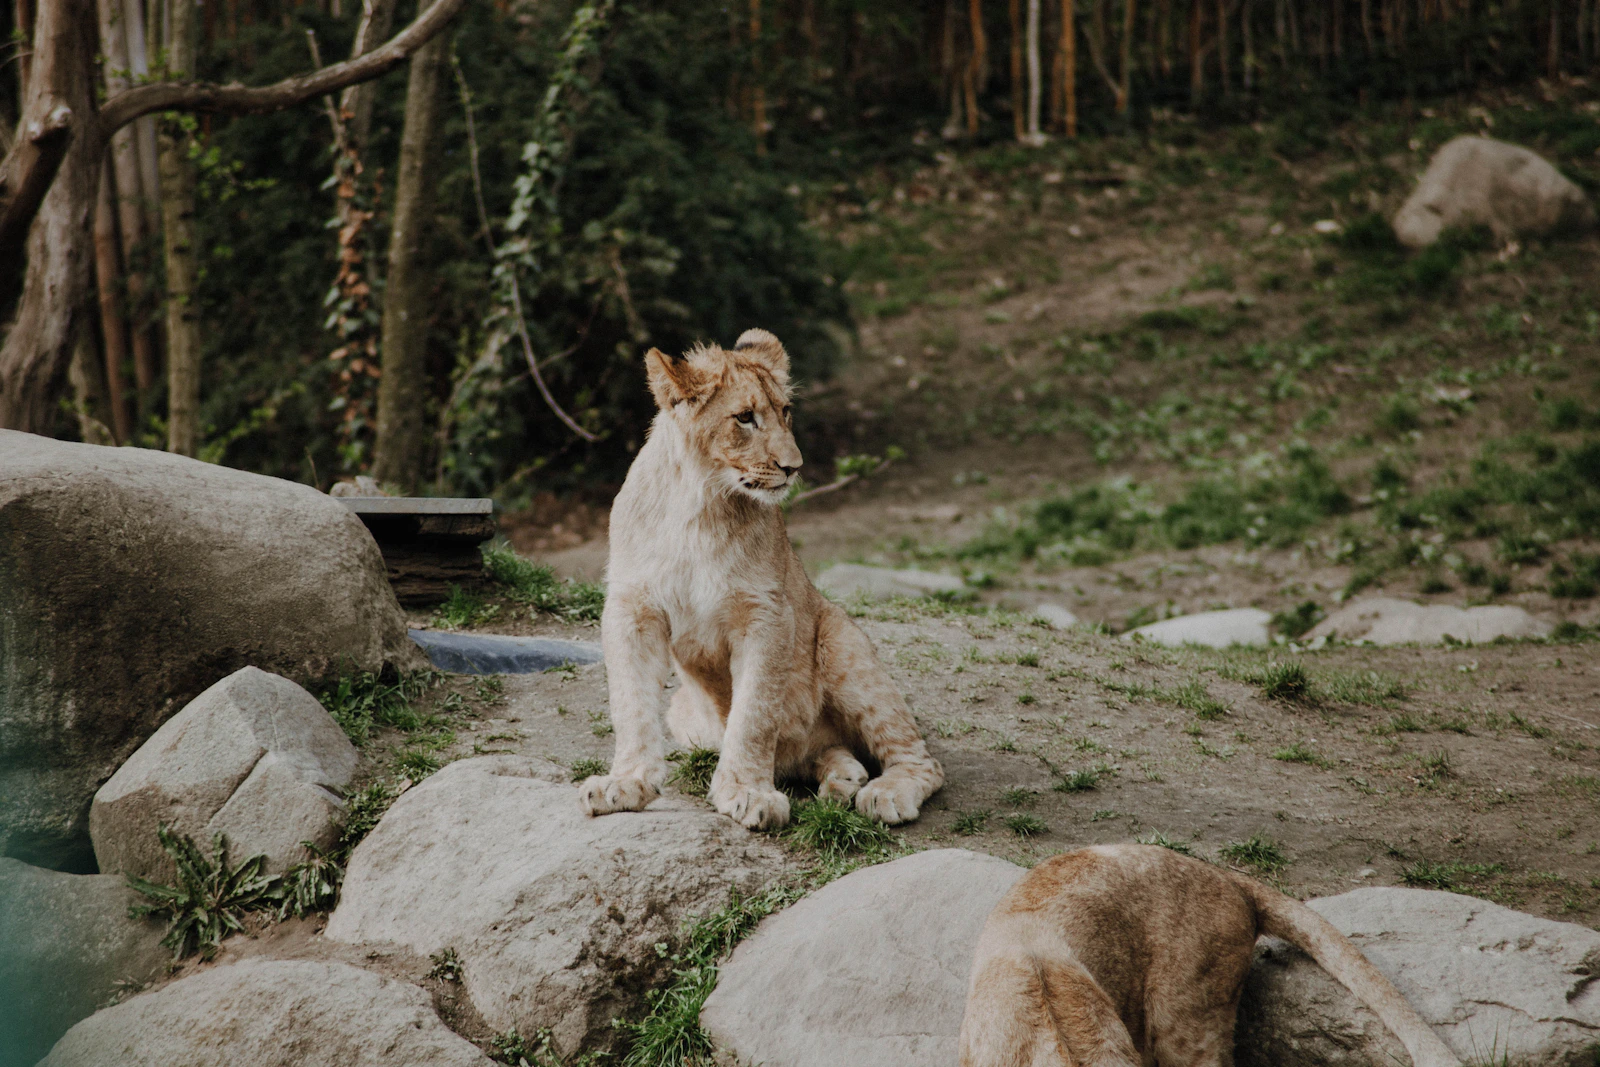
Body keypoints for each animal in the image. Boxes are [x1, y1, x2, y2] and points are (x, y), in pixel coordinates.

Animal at [576, 329, 944, 830]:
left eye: (785, 412)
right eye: (745, 418)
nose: (794, 466)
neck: (699, 506)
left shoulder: (767, 614)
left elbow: (754, 713)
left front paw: (748, 793)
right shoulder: (633, 608)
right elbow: (630, 704)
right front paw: (625, 784)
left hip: (844, 646)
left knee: (920, 758)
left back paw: (885, 793)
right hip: (687, 719)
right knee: (823, 751)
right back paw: (842, 779)